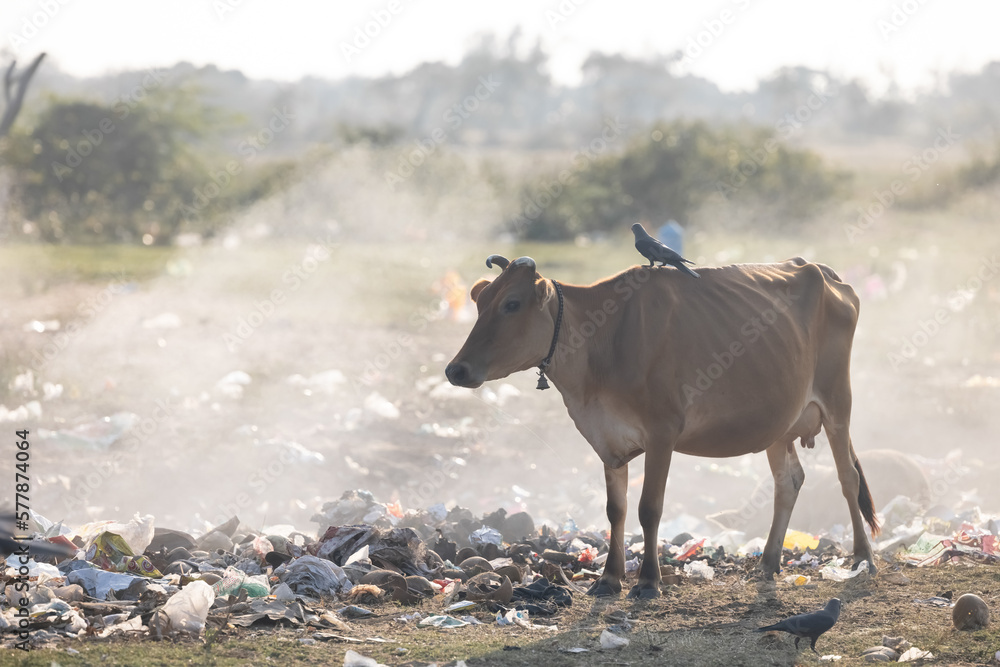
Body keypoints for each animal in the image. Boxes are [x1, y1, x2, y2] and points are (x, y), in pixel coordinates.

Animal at [445, 254, 879, 599]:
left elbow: (649, 509)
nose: (455, 369)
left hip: (838, 402)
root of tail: (820, 269)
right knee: (788, 482)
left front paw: (648, 581)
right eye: (480, 302)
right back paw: (769, 562)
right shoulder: (608, 439)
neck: (599, 345)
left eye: (512, 304)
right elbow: (615, 510)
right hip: (779, 421)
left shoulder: (662, 432)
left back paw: (863, 558)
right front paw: (609, 579)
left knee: (848, 478)